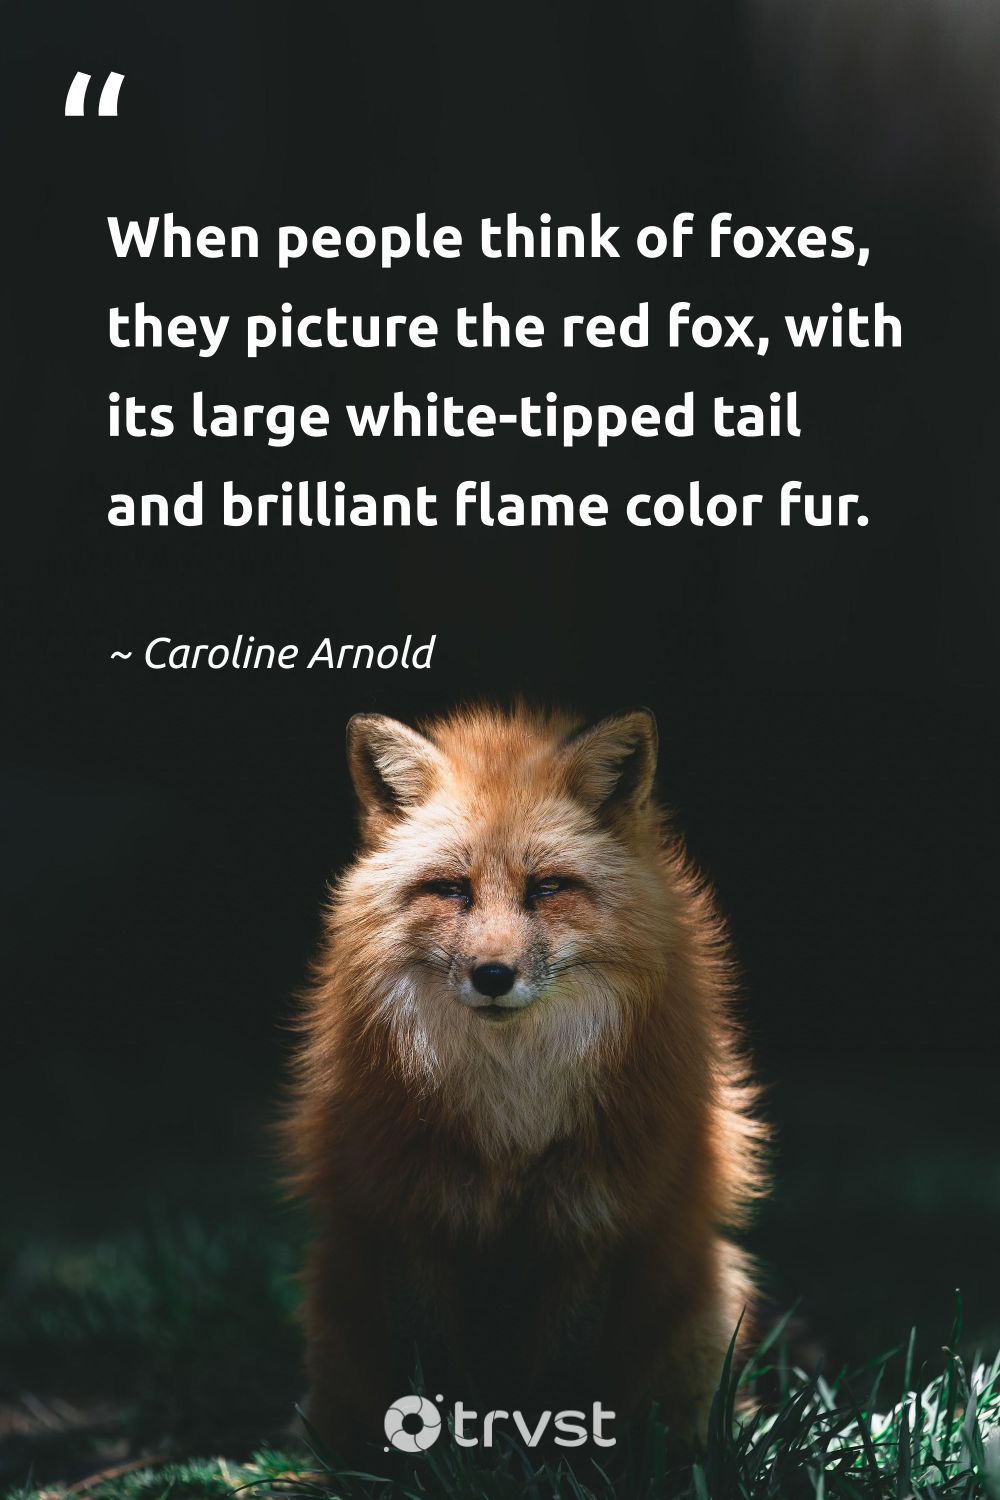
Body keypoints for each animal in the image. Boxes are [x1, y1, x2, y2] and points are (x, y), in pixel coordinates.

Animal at [286, 704, 767, 1454]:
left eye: (546, 888)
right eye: (451, 889)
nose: (492, 976)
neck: (510, 1116)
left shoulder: (591, 1219)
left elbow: (561, 1379)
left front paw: (557, 1459)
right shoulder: (409, 1213)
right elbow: (433, 1374)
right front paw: (433, 1462)